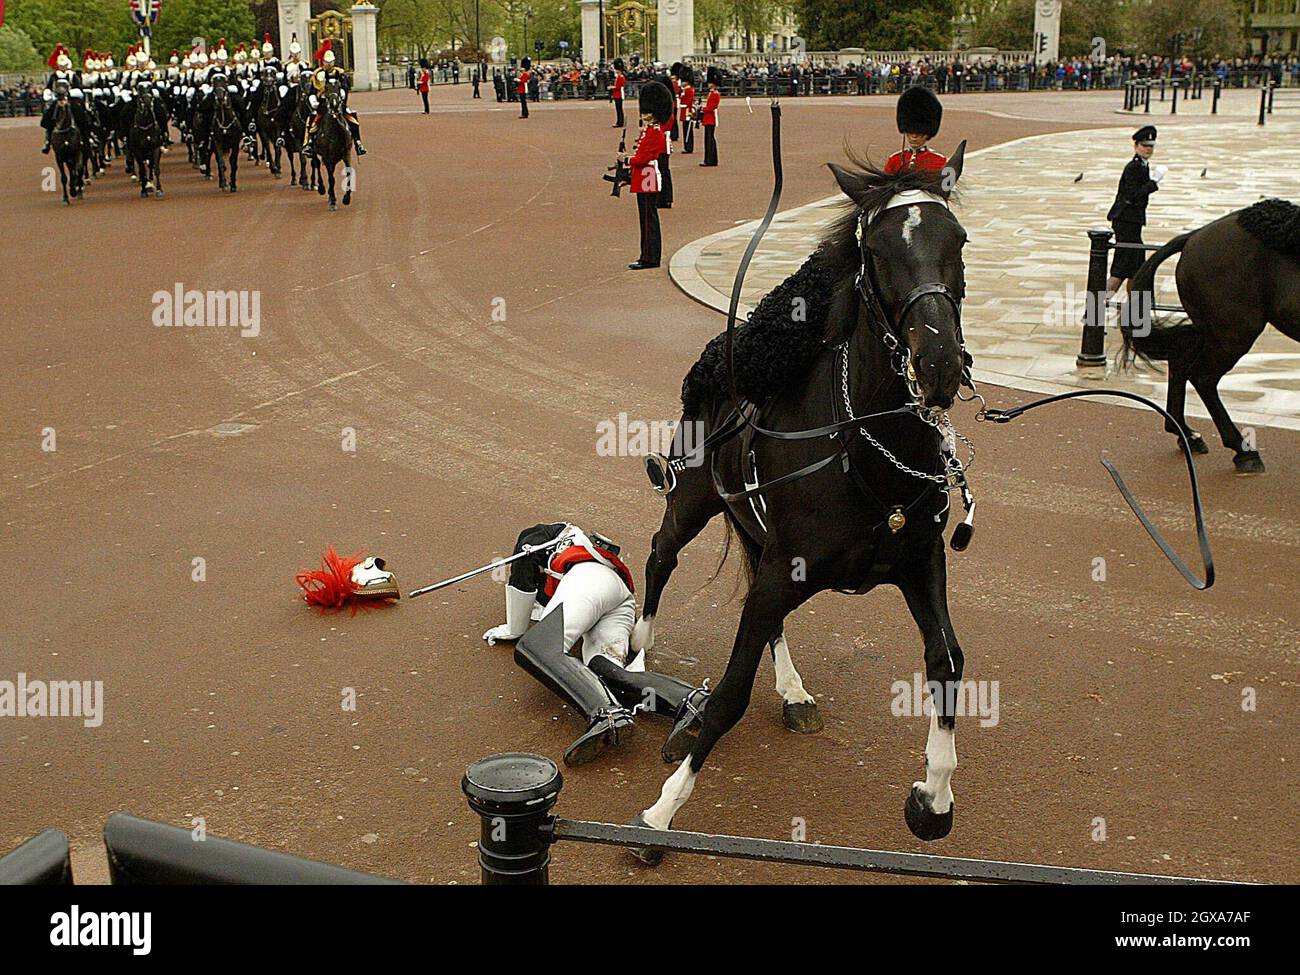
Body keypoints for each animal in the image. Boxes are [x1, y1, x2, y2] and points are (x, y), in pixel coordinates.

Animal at [312, 80, 354, 211]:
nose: (334, 104)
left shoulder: (346, 153)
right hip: (317, 153)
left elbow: (348, 173)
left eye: (339, 86)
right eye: (326, 87)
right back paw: (322, 189)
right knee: (316, 164)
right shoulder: (326, 156)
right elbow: (331, 178)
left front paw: (346, 198)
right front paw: (333, 201)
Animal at [628, 144, 974, 856]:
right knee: (658, 554)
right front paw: (663, 812)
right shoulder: (779, 572)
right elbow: (730, 694)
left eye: (957, 240)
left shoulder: (919, 562)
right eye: (877, 252)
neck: (863, 449)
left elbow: (947, 661)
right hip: (694, 499)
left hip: (760, 540)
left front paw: (934, 796)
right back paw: (636, 655)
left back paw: (791, 691)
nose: (938, 364)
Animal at [1121, 198, 1300, 474]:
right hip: (1234, 333)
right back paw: (1242, 450)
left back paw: (1187, 435)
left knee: (1181, 362)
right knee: (1202, 377)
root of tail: (1195, 236)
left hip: (1215, 331)